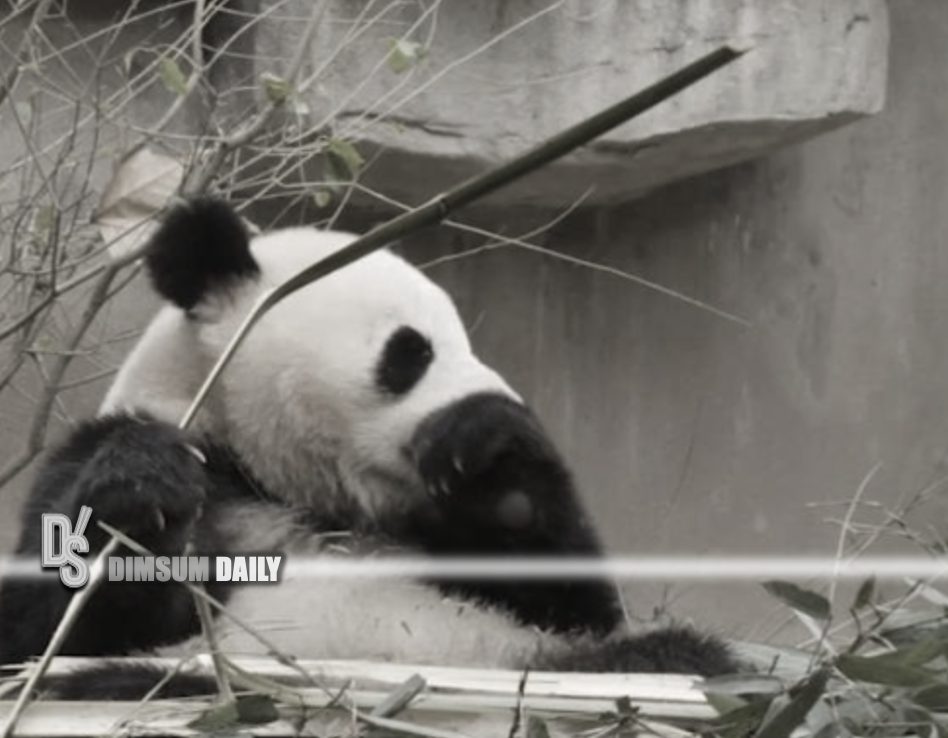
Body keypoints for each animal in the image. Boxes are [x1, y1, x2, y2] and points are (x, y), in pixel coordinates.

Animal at [0, 198, 735, 696]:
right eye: (410, 351)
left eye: (466, 342)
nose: (484, 396)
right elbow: (43, 630)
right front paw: (142, 491)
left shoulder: (443, 543)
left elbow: (576, 601)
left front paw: (489, 449)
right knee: (126, 680)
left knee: (672, 656)